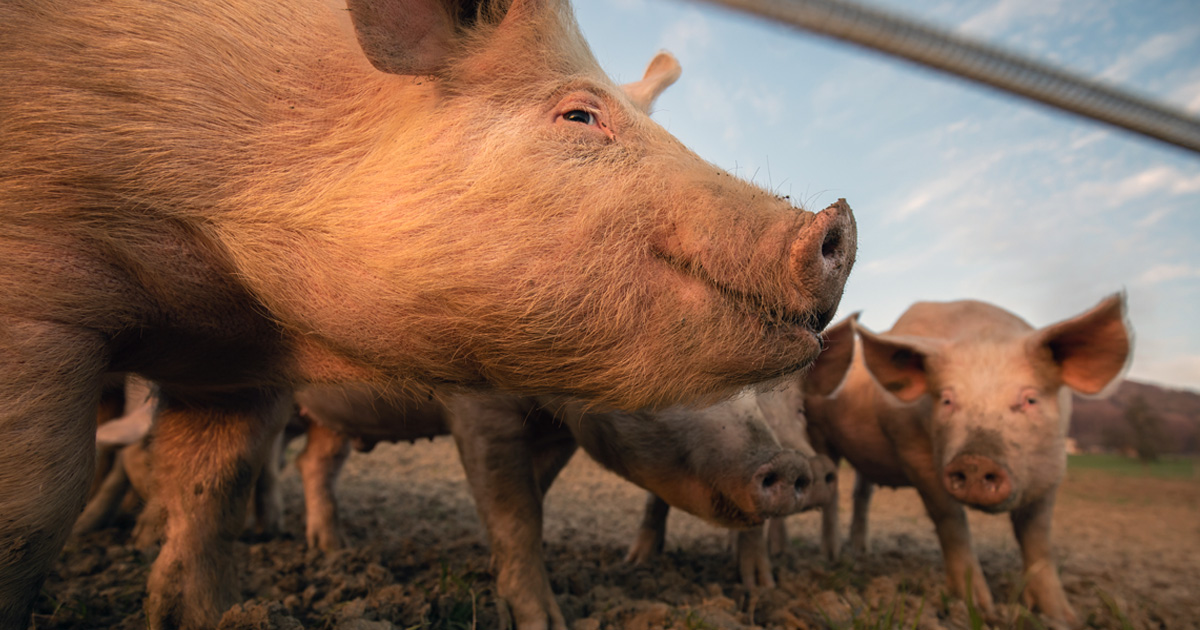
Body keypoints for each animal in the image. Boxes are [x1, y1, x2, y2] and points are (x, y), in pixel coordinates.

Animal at [804, 295, 1131, 626]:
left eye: (1030, 399)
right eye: (947, 400)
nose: (975, 461)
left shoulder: (1051, 468)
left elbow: (1037, 537)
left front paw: (1064, 617)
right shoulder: (913, 452)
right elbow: (952, 520)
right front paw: (980, 608)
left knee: (862, 492)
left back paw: (862, 553)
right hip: (818, 432)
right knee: (831, 492)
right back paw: (832, 556)